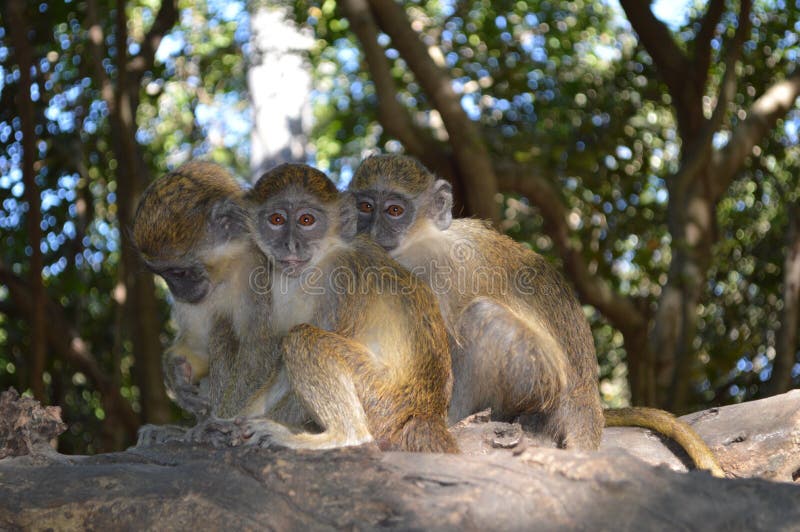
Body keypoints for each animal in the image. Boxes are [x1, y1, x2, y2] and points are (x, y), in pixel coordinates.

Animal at [238, 162, 458, 453]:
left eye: (306, 220)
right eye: (276, 220)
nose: (291, 245)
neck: (322, 257)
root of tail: (427, 412)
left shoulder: (340, 281)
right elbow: (282, 372)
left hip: (381, 400)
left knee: (303, 337)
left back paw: (342, 436)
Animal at [348, 154, 724, 477]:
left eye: (395, 210)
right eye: (365, 207)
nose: (373, 233)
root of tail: (586, 400)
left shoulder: (431, 272)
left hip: (543, 386)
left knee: (483, 317)